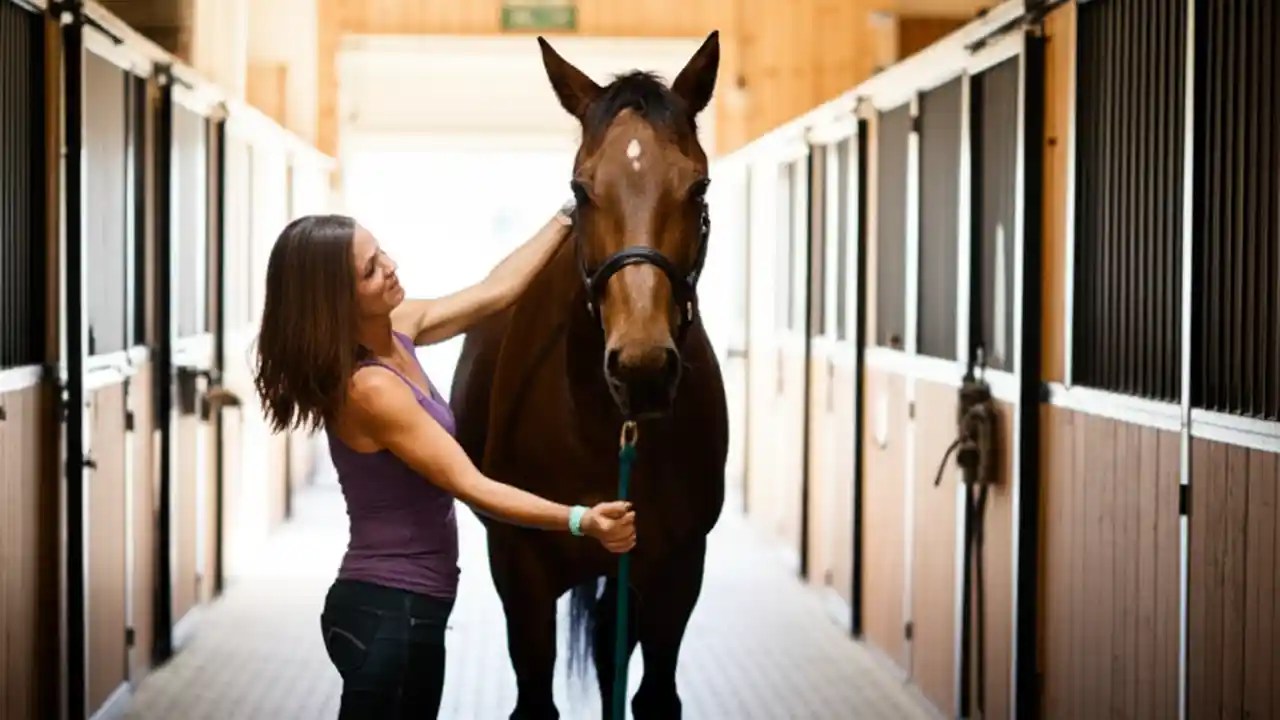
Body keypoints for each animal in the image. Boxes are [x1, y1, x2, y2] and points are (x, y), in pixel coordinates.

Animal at [448, 31, 728, 720]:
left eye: (699, 188)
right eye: (580, 190)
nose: (641, 367)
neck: (602, 425)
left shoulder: (676, 568)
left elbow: (652, 695)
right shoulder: (518, 567)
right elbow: (535, 698)